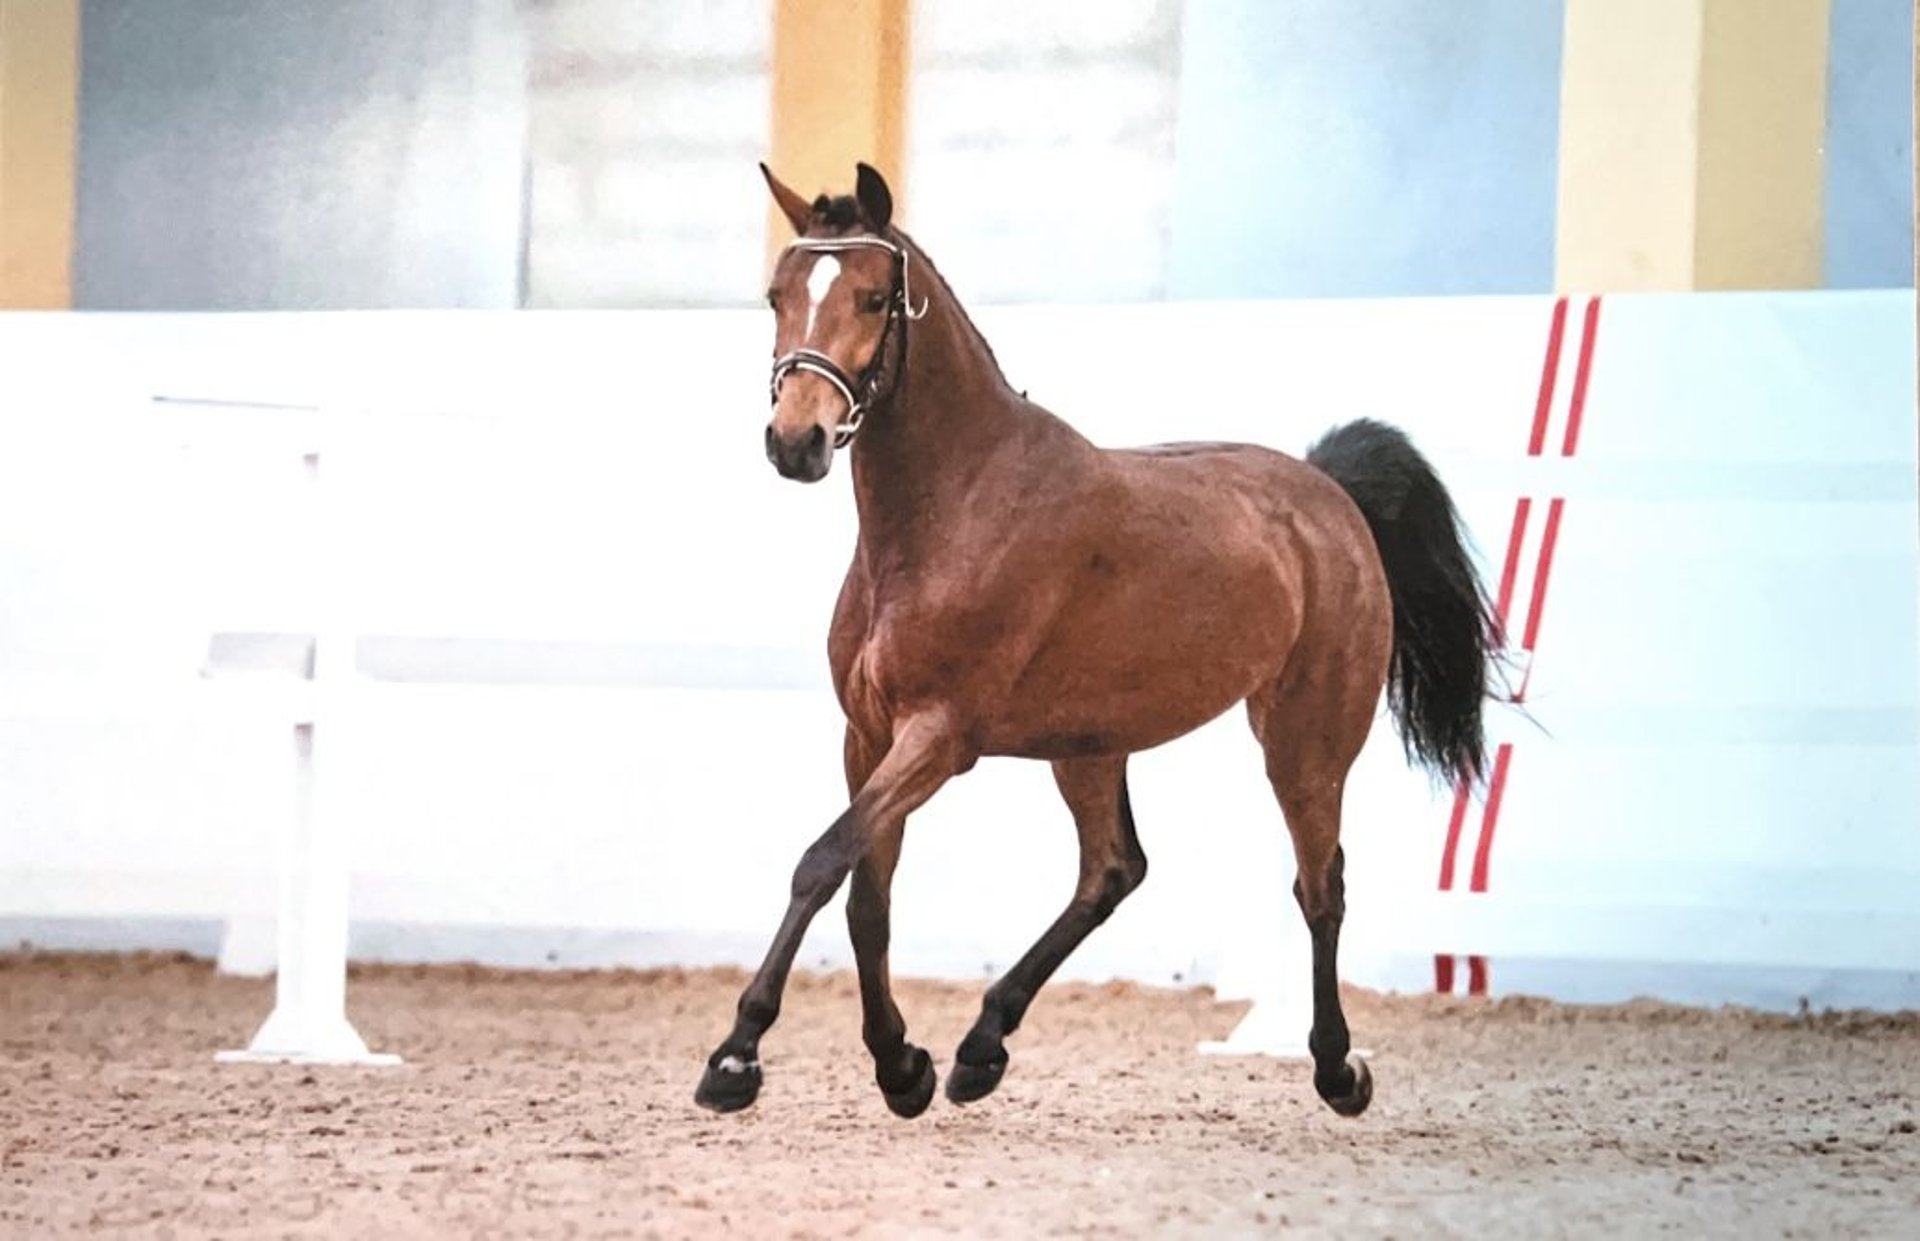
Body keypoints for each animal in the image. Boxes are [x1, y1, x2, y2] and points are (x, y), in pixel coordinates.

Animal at [695, 162, 1502, 1120]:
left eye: (872, 296)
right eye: (777, 295)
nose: (797, 441)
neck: (951, 509)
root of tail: (1328, 496)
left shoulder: (939, 737)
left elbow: (820, 864)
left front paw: (736, 1058)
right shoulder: (869, 735)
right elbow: (867, 899)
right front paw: (903, 1066)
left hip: (1304, 741)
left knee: (1320, 886)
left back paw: (1338, 1069)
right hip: (1089, 744)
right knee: (1113, 869)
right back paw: (981, 1047)